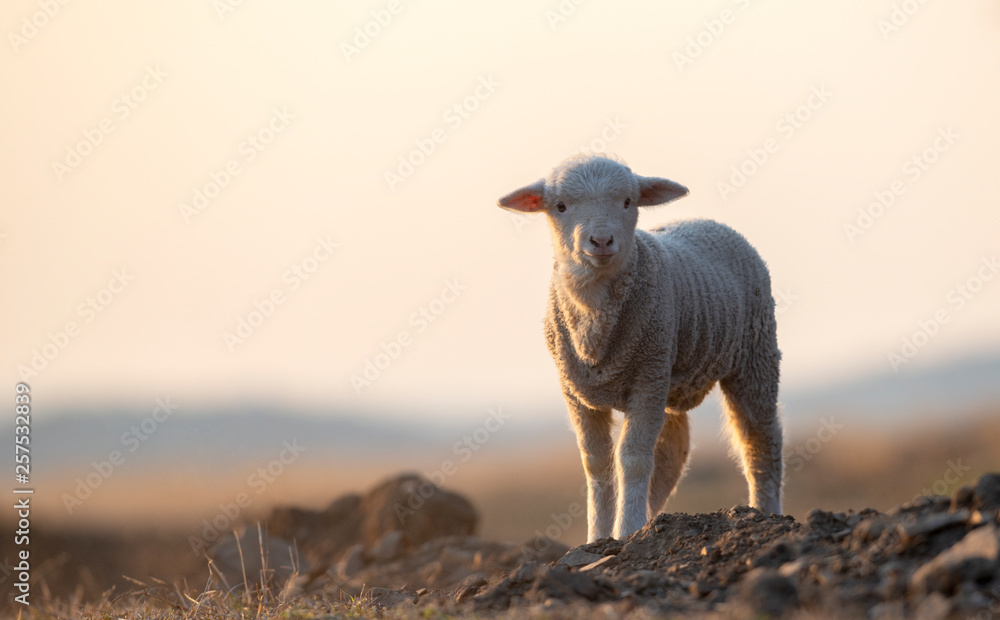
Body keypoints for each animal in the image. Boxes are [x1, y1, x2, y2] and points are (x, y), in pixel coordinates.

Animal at [497, 154, 783, 541]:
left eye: (627, 201)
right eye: (560, 206)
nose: (602, 240)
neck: (596, 317)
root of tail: (706, 221)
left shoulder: (647, 378)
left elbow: (632, 459)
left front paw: (626, 530)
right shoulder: (576, 392)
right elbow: (596, 463)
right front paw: (599, 537)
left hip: (754, 356)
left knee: (760, 442)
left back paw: (766, 516)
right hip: (672, 379)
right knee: (671, 453)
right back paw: (653, 520)